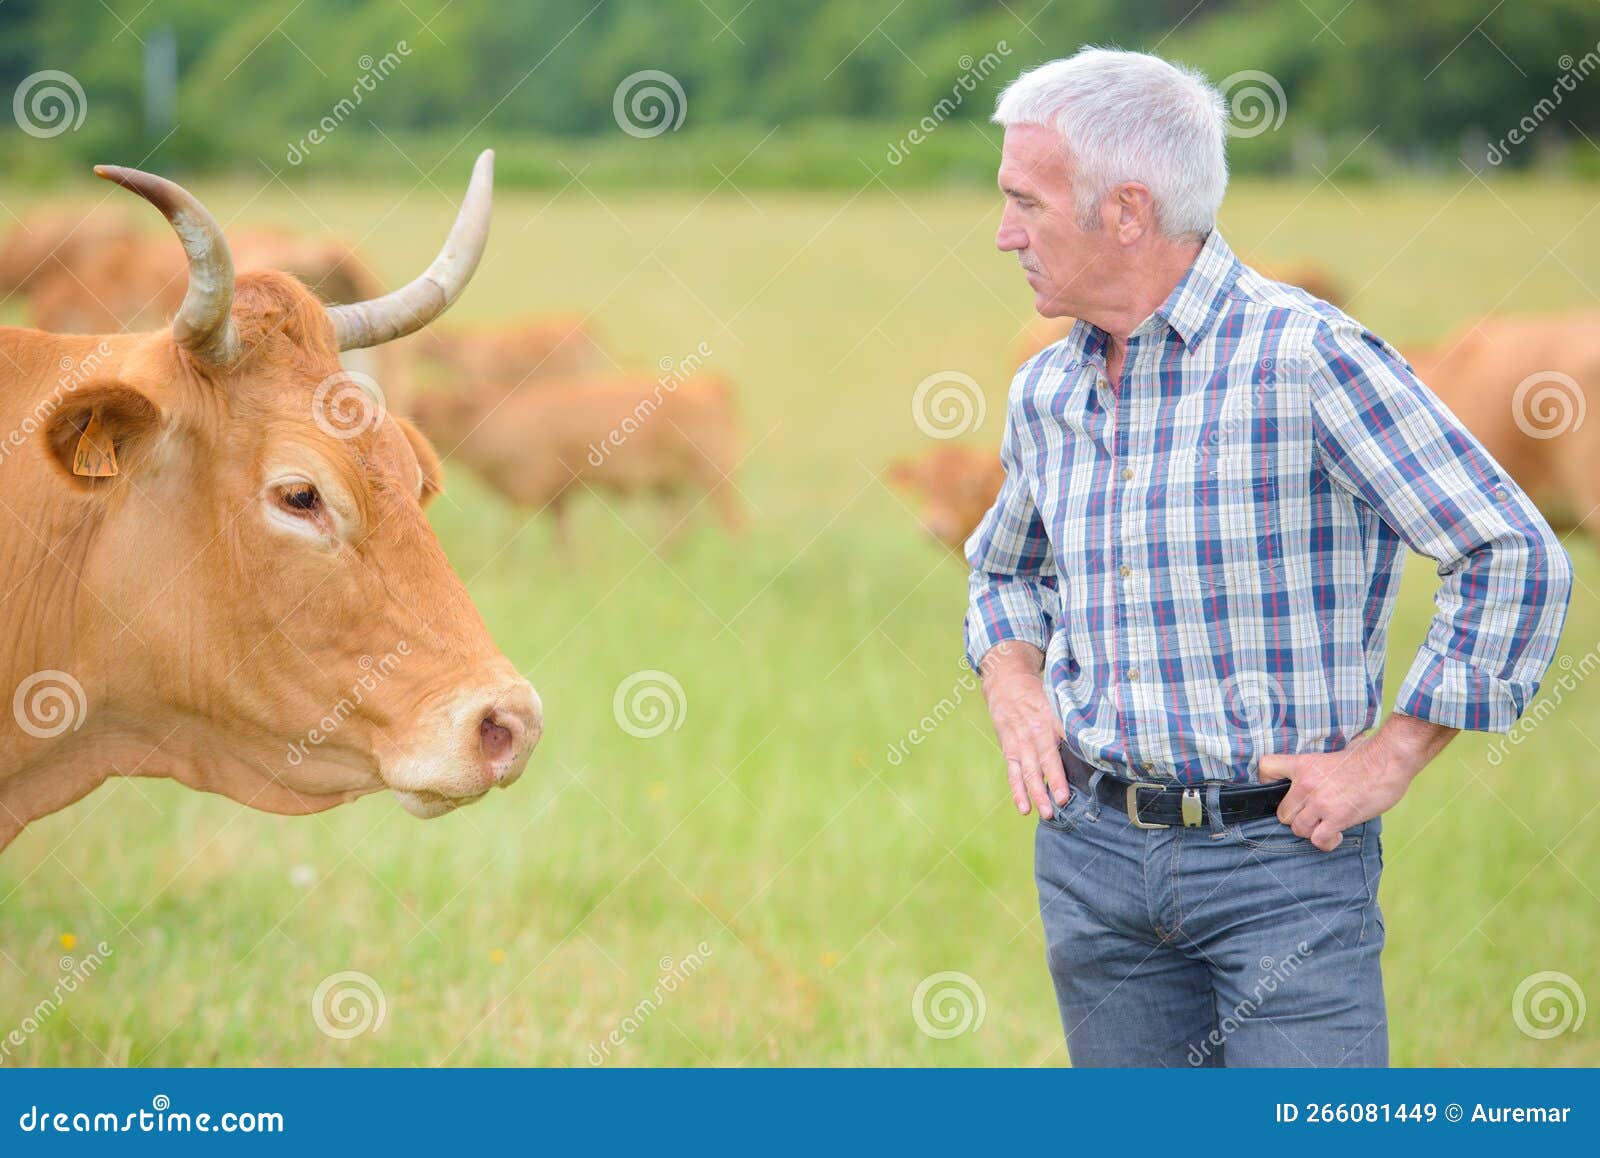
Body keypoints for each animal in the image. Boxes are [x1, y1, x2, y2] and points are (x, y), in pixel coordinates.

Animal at [413, 373, 745, 547]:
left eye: (429, 411)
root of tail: (714, 385)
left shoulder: (529, 487)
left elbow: (513, 537)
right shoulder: (558, 494)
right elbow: (563, 538)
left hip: (715, 478)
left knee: (734, 523)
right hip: (671, 486)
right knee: (681, 527)